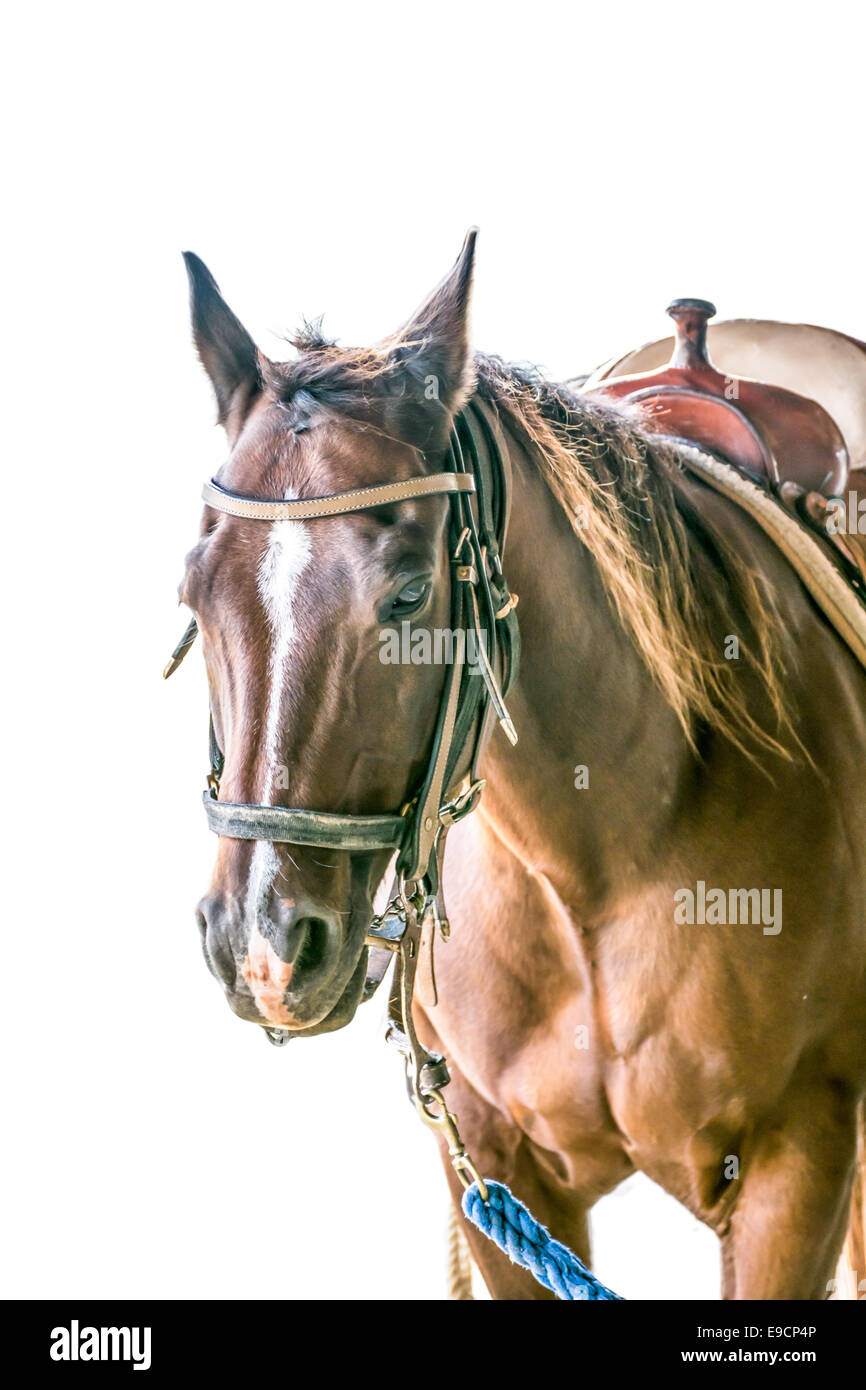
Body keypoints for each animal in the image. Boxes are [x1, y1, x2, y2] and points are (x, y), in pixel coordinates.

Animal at [176, 234, 866, 1299]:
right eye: (195, 592)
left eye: (409, 595)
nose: (262, 944)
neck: (602, 864)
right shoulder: (499, 1173)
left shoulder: (800, 1167)